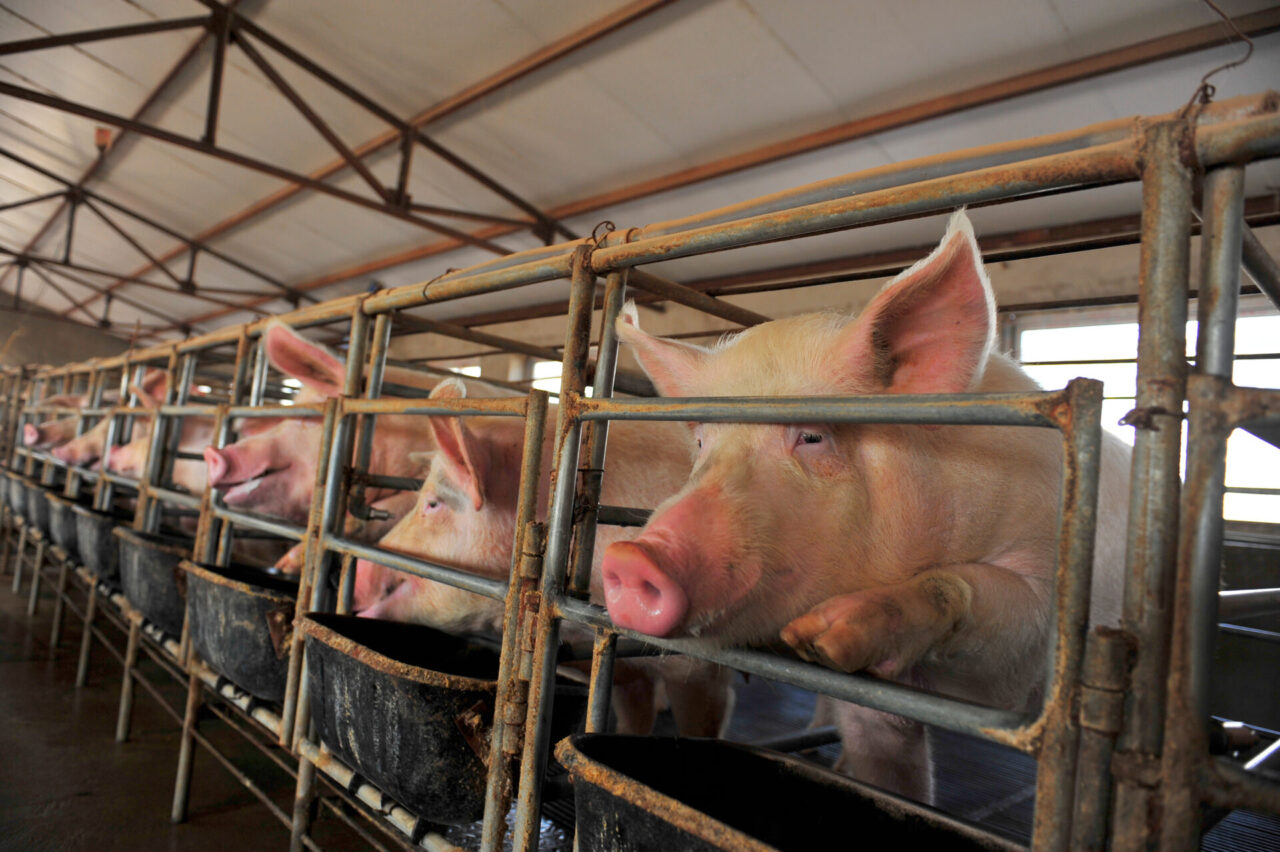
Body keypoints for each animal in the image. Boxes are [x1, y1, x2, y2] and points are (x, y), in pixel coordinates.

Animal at [353, 380, 734, 737]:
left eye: (432, 503)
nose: (359, 570)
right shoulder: (618, 661)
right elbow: (629, 717)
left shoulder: (700, 666)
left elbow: (701, 724)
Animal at [599, 210, 1130, 801]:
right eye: (699, 442)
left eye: (812, 437)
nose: (632, 557)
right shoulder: (873, 709)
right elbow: (890, 768)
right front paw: (819, 647)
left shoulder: (1039, 625)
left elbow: (991, 604)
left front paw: (825, 634)